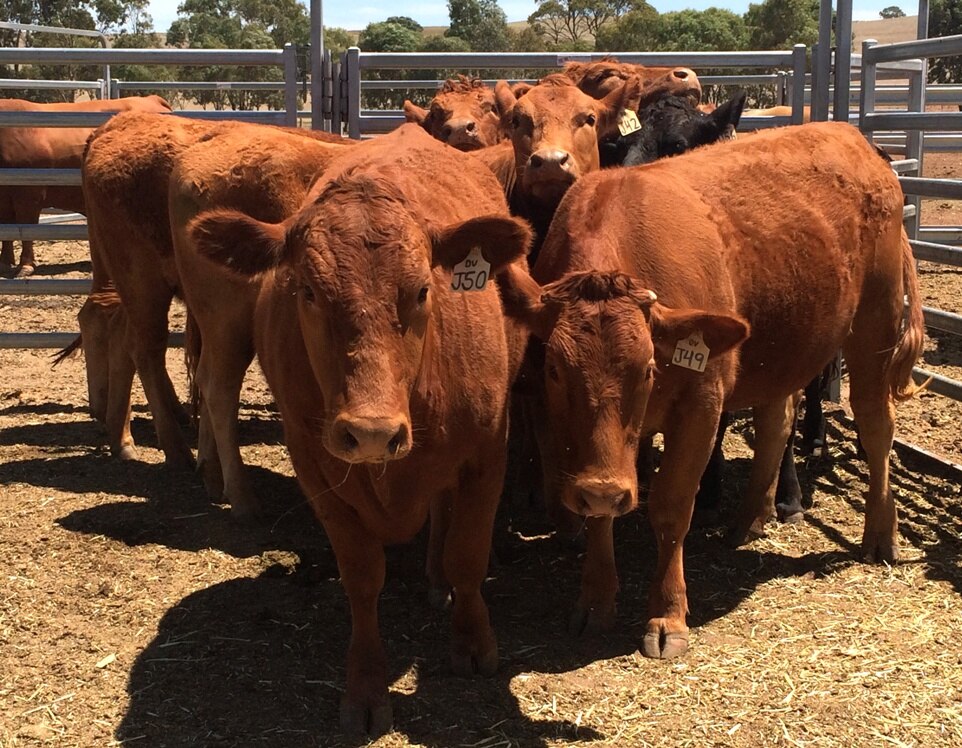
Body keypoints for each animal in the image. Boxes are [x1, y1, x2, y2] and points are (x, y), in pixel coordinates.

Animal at [0, 95, 172, 276]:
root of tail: (152, 99)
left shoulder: (29, 194)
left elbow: (26, 228)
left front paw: (25, 266)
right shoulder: (4, 198)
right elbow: (6, 230)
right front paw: (4, 263)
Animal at [186, 124, 532, 735]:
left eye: (422, 291)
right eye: (307, 291)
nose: (372, 432)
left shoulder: (488, 451)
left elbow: (469, 554)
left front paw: (472, 642)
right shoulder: (316, 467)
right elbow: (363, 576)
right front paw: (367, 686)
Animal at [496, 121, 924, 659]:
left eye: (648, 370)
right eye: (554, 370)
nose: (603, 489)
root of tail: (853, 136)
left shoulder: (702, 404)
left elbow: (672, 508)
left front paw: (667, 616)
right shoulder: (596, 452)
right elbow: (600, 515)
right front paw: (595, 600)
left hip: (875, 325)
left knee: (876, 425)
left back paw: (880, 535)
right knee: (776, 424)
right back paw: (751, 518)